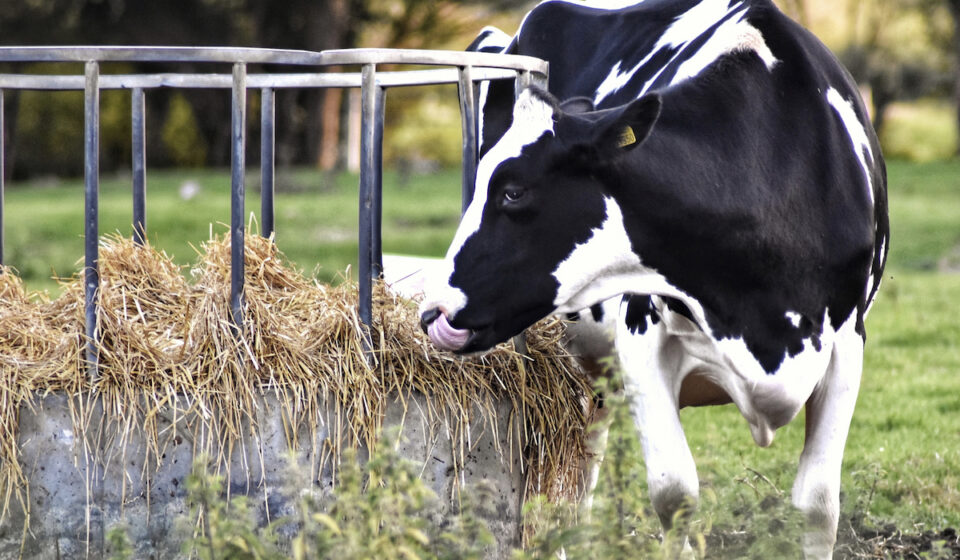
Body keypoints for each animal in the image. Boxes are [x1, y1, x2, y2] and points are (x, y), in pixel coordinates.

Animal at [419, 0, 889, 558]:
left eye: (513, 192)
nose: (433, 313)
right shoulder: (641, 340)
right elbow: (675, 495)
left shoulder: (847, 342)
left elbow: (817, 505)